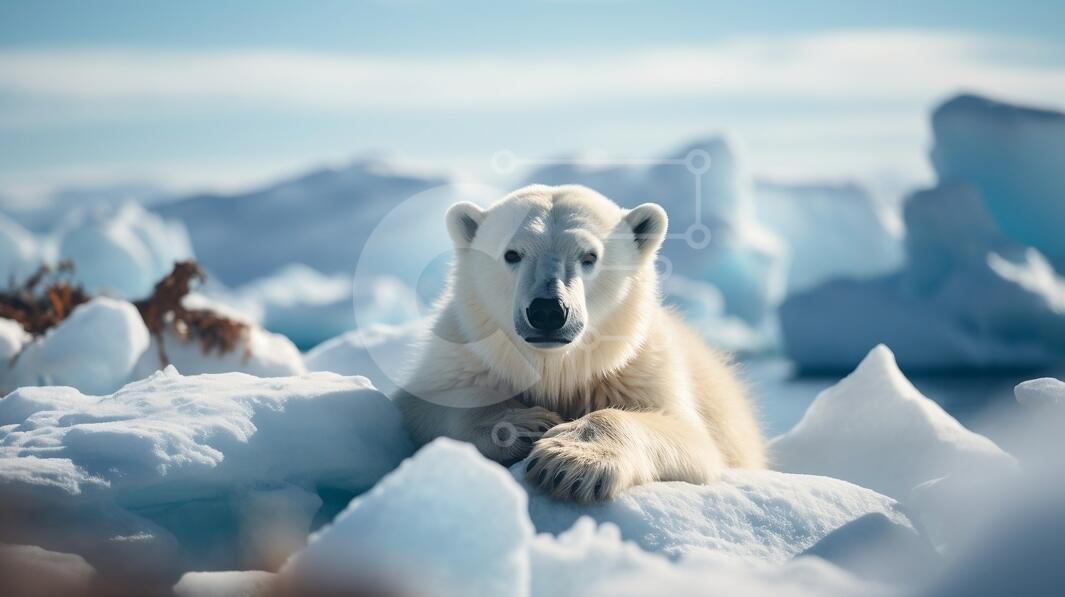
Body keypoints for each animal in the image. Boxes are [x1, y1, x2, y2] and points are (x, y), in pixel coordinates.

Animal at [393, 184, 766, 502]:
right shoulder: (464, 353)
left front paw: (570, 463)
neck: (557, 367)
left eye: (589, 256)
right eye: (512, 254)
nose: (547, 310)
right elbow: (426, 404)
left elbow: (689, 437)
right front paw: (524, 425)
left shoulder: (639, 368)